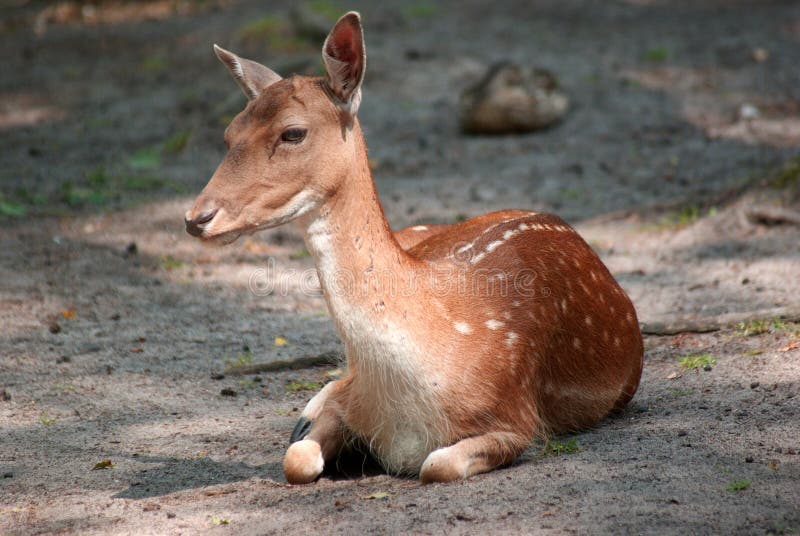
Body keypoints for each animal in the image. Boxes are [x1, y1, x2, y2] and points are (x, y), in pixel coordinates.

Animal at [185, 12, 643, 485]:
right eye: (228, 133)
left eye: (293, 132)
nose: (197, 218)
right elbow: (298, 459)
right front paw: (313, 430)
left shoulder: (515, 417)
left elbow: (436, 465)